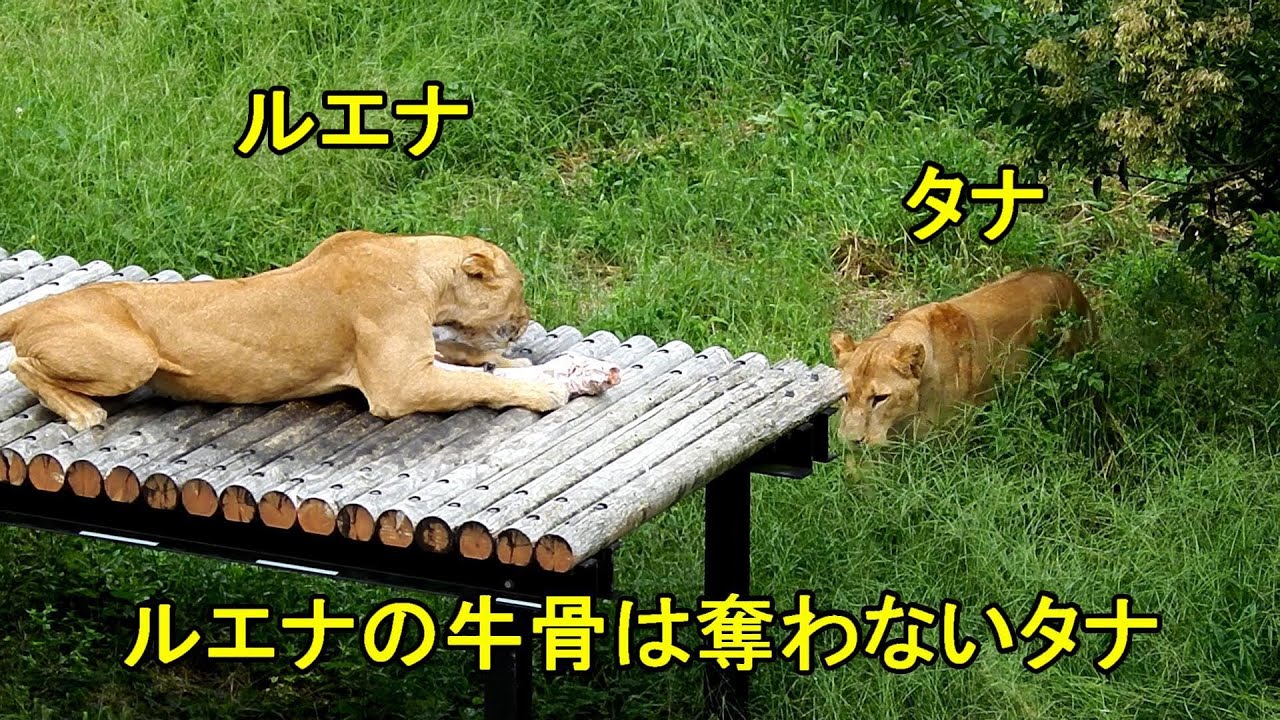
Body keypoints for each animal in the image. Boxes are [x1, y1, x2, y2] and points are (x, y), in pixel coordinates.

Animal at [0, 230, 593, 431]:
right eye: (519, 286)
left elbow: (466, 358)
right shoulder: (398, 385)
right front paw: (542, 389)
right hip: (132, 358)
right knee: (21, 363)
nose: (526, 320)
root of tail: (33, 308)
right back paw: (82, 412)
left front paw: (522, 364)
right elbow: (476, 382)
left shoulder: (419, 357)